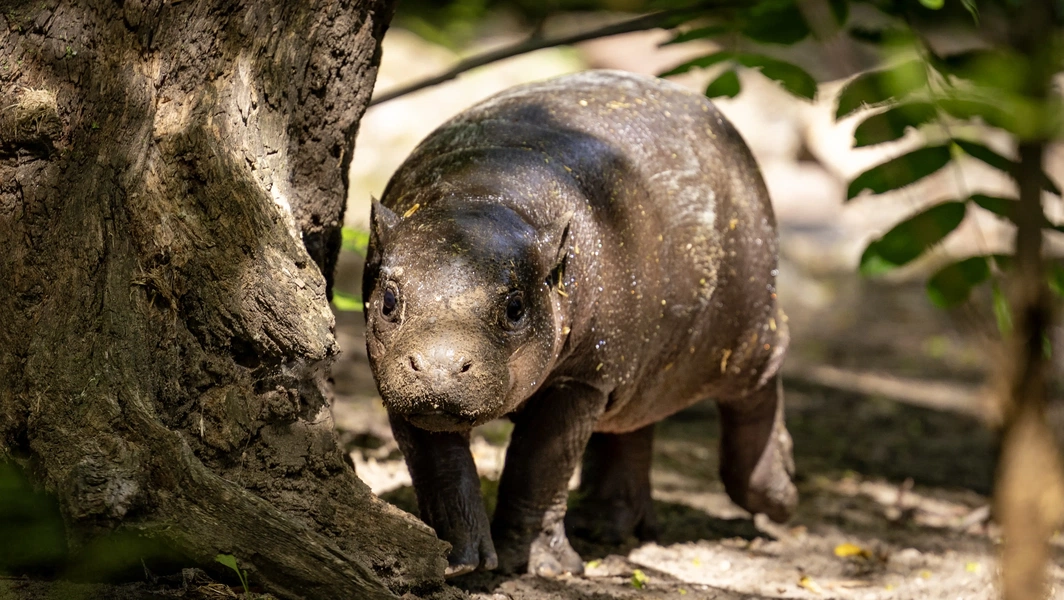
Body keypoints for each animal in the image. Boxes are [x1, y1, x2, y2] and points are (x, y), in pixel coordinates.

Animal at [362, 70, 796, 577]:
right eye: (389, 300)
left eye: (515, 307)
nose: (438, 366)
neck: (478, 204)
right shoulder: (405, 393)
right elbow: (440, 469)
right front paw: (459, 562)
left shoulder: (582, 379)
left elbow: (541, 462)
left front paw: (542, 568)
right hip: (639, 364)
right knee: (630, 427)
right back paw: (607, 528)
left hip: (747, 329)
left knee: (759, 388)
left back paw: (781, 493)